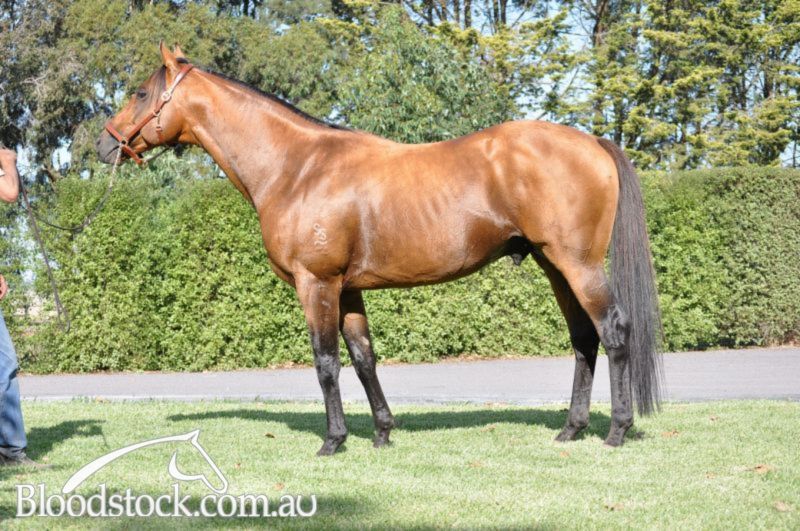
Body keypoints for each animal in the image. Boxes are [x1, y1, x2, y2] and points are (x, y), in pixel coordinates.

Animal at [96, 43, 663, 456]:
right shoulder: (347, 289)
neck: (297, 166)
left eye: (141, 92)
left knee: (613, 331)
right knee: (583, 338)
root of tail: (592, 143)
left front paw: (333, 441)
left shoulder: (317, 284)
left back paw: (616, 430)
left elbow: (326, 360)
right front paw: (383, 432)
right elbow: (363, 357)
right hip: (554, 265)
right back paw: (571, 429)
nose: (104, 145)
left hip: (578, 264)